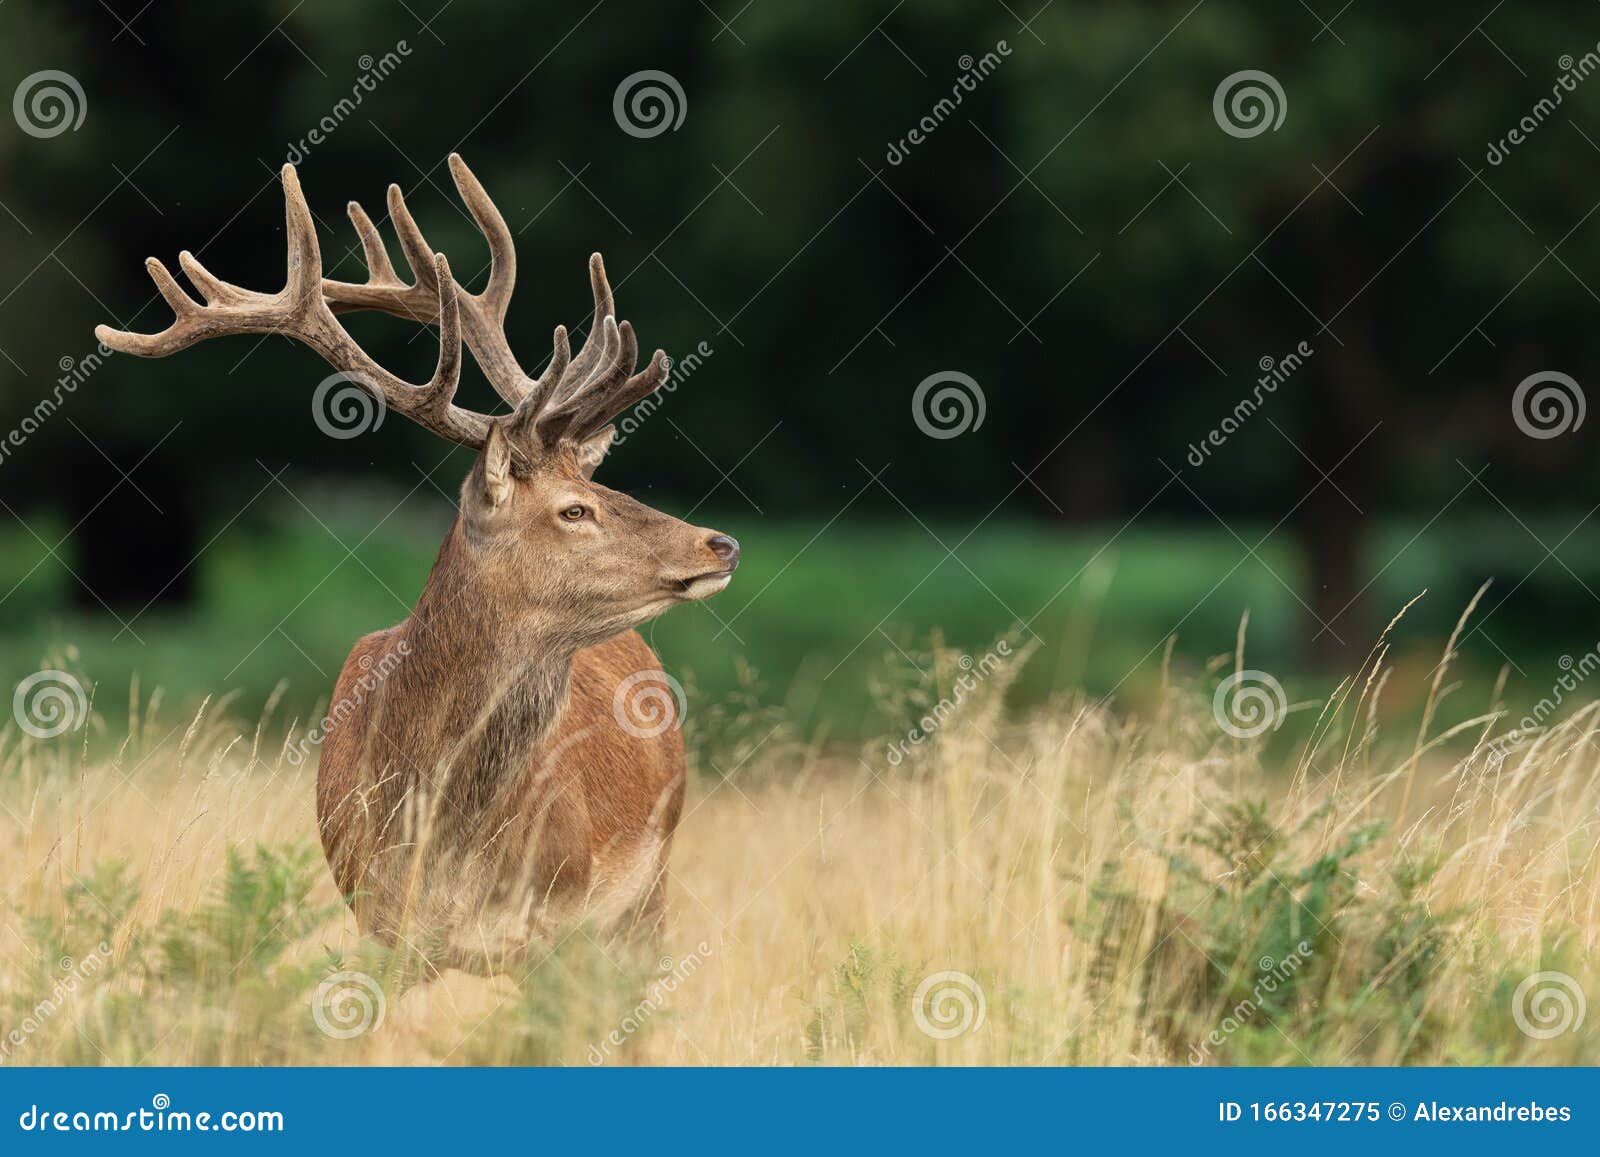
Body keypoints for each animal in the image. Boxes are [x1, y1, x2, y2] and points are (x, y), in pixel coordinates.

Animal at [96, 155, 740, 971]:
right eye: (574, 508)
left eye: (603, 486)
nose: (721, 543)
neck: (443, 837)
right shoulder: (379, 924)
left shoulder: (556, 923)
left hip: (647, 890)